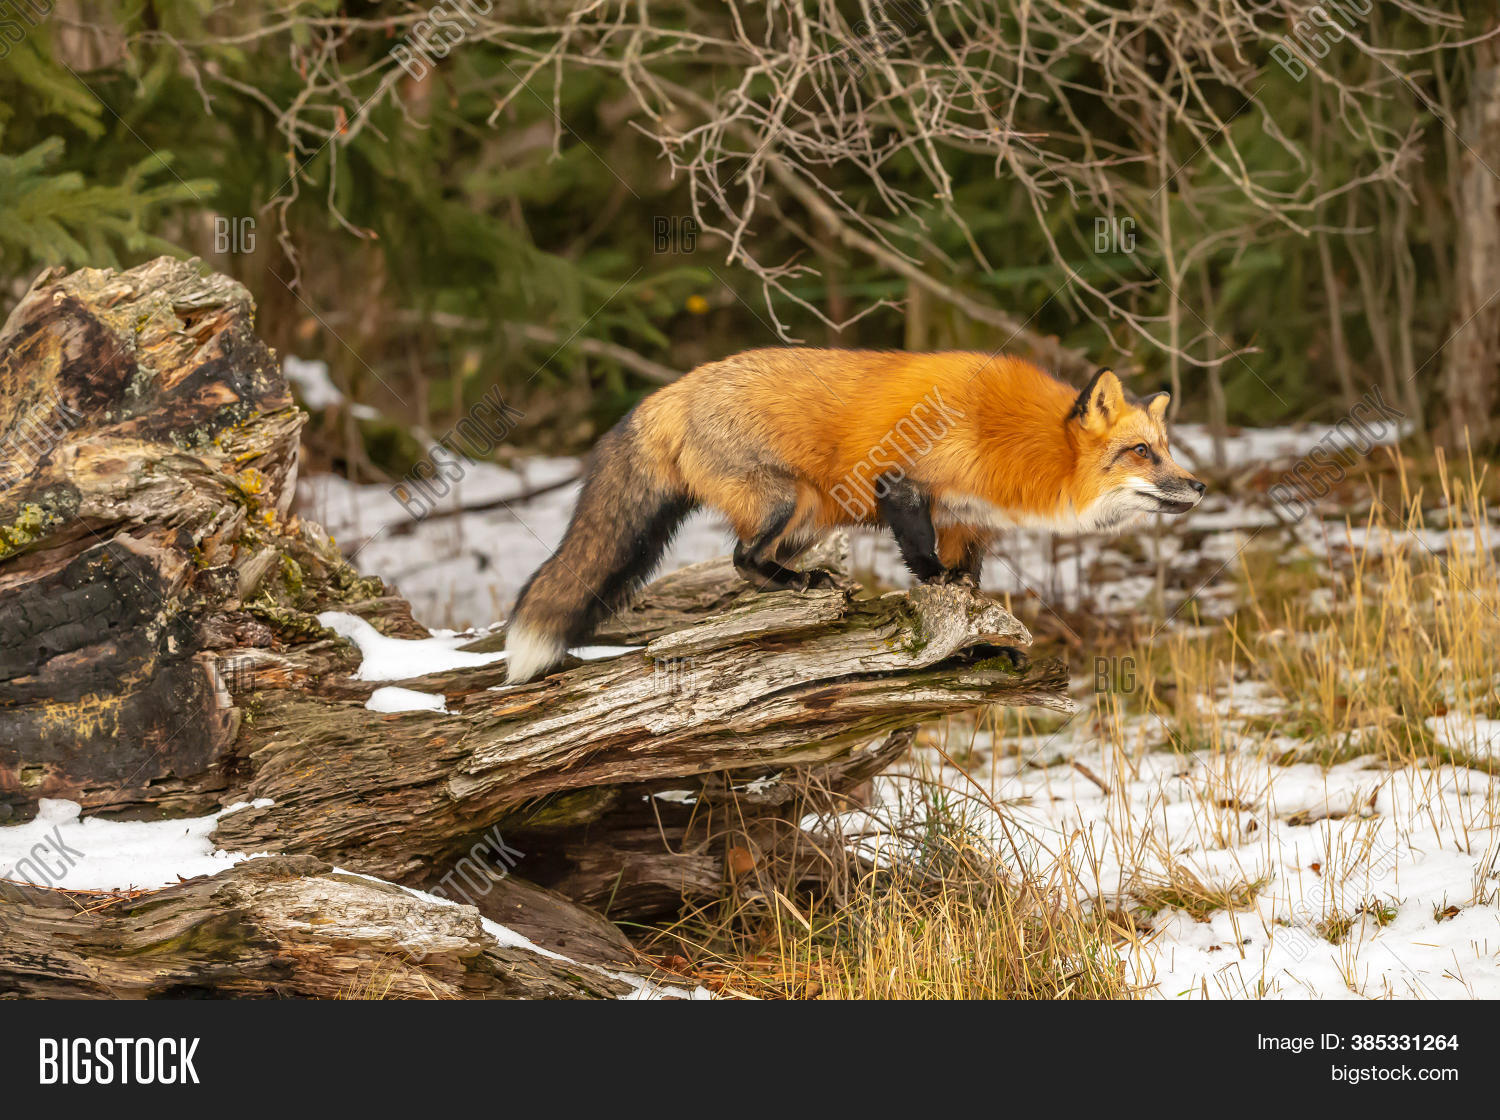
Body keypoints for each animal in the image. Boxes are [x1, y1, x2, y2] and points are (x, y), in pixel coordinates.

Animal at [504, 349, 1205, 683]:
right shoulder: (901, 482)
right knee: (741, 558)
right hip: (786, 502)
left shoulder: (968, 517)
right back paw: (798, 585)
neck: (1011, 440)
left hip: (812, 514)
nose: (1198, 486)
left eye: (1166, 448)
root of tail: (672, 390)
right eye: (1141, 453)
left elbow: (969, 572)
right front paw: (934, 586)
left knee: (749, 561)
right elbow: (923, 556)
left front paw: (976, 616)